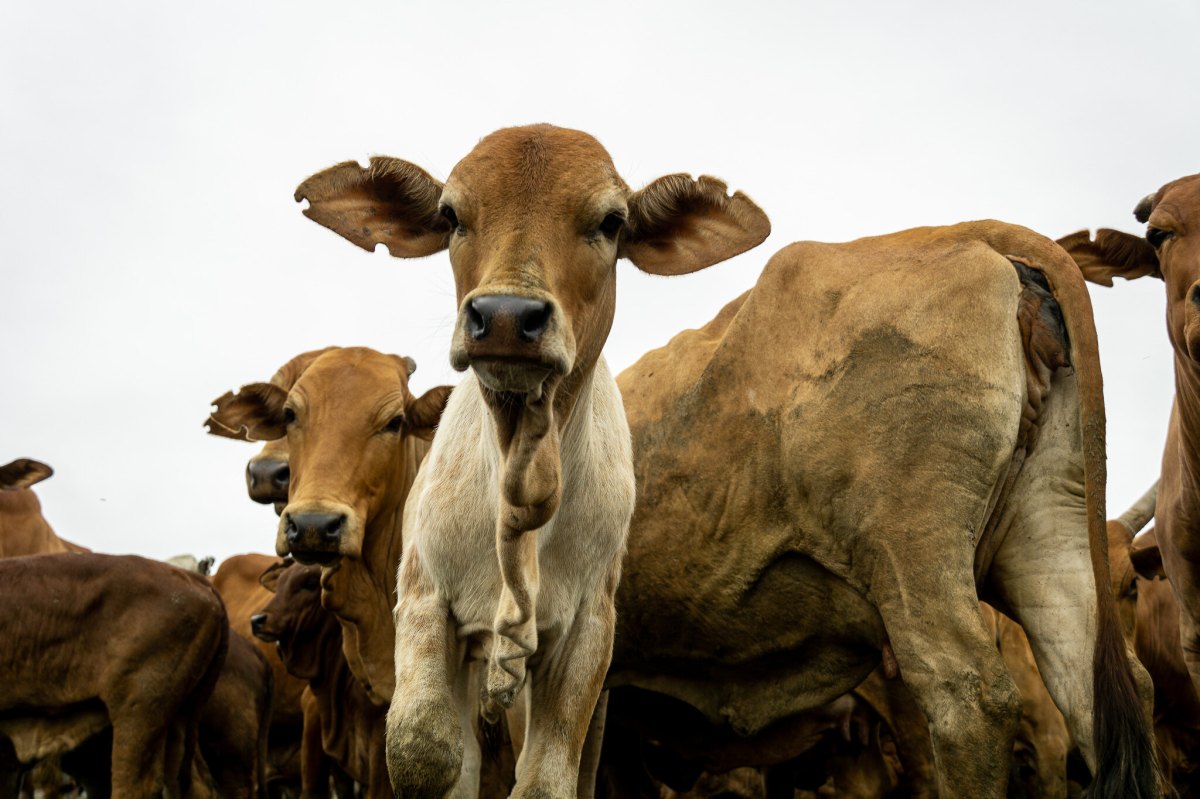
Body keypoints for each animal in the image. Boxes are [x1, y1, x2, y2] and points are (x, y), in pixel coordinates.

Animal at [289, 124, 771, 797]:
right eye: (450, 215)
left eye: (611, 222)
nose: (506, 317)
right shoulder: (424, 596)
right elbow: (425, 753)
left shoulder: (588, 634)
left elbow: (545, 778)